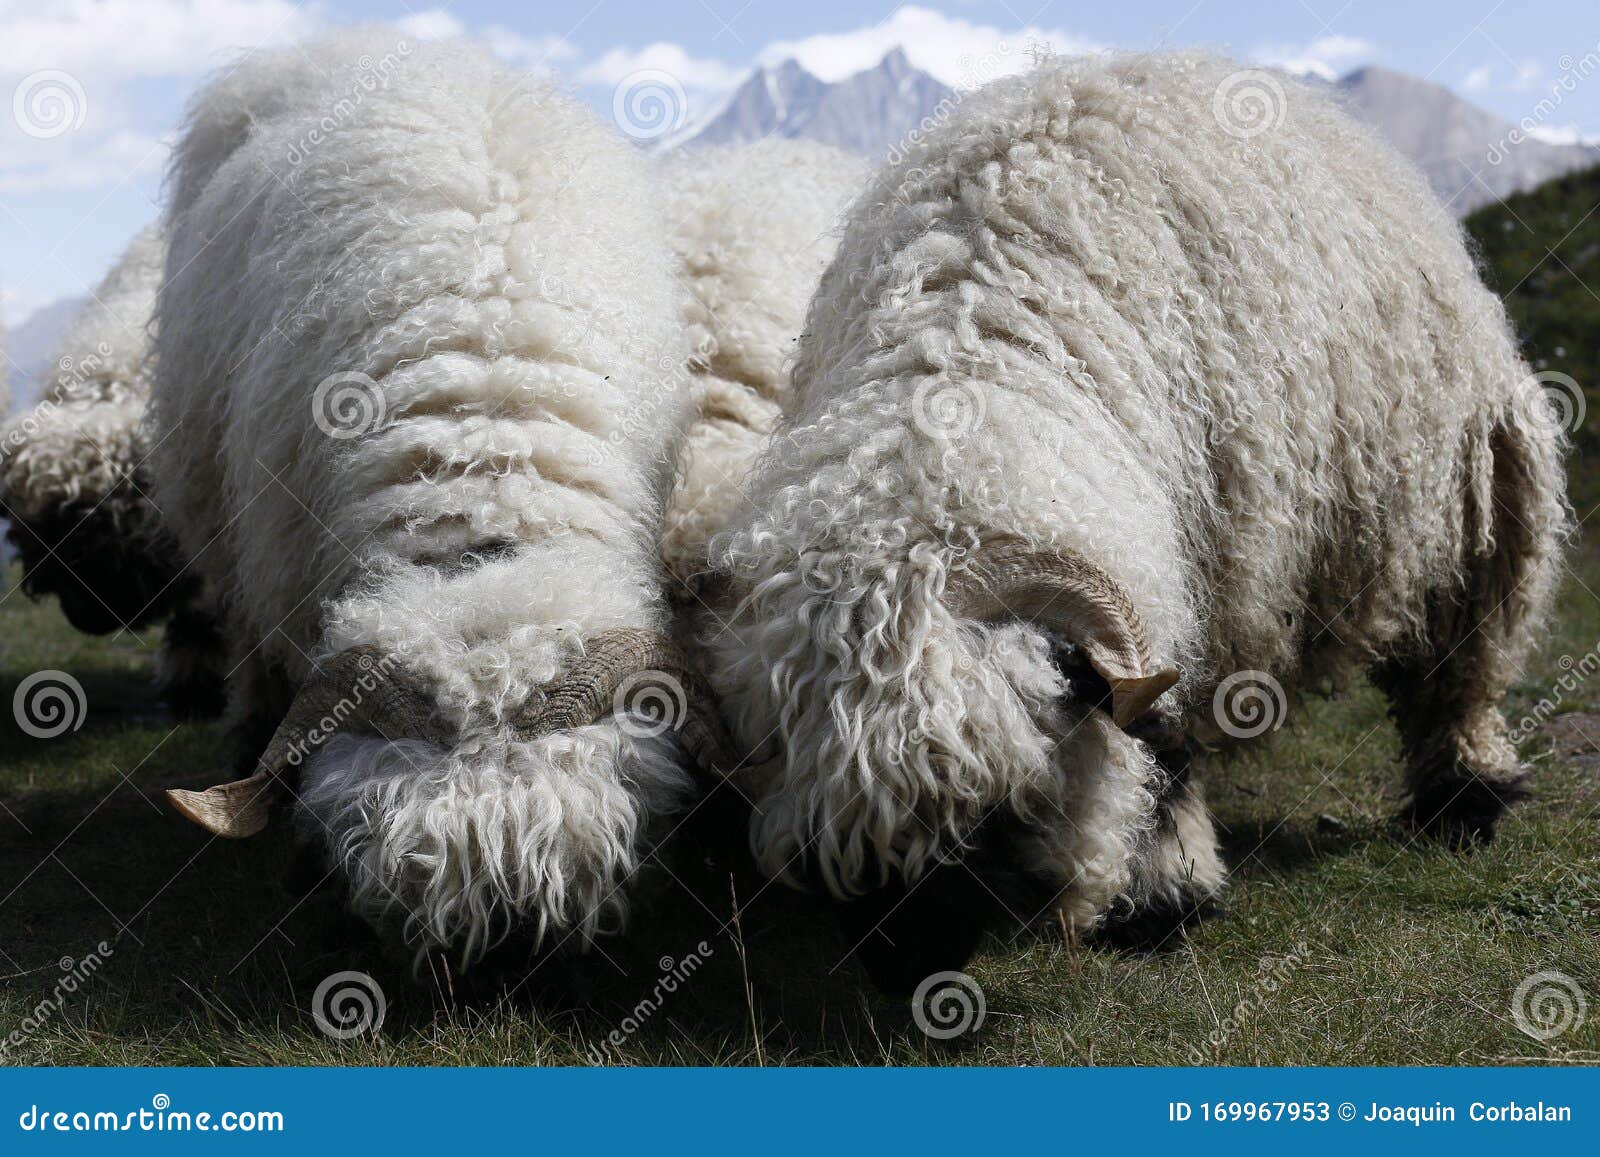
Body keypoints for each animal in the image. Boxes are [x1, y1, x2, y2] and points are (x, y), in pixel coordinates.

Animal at [704, 54, 1569, 994]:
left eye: (993, 811)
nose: (911, 972)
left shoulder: (1212, 588)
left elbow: (1166, 748)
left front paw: (1162, 899)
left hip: (1466, 496)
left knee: (1460, 661)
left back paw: (1467, 799)